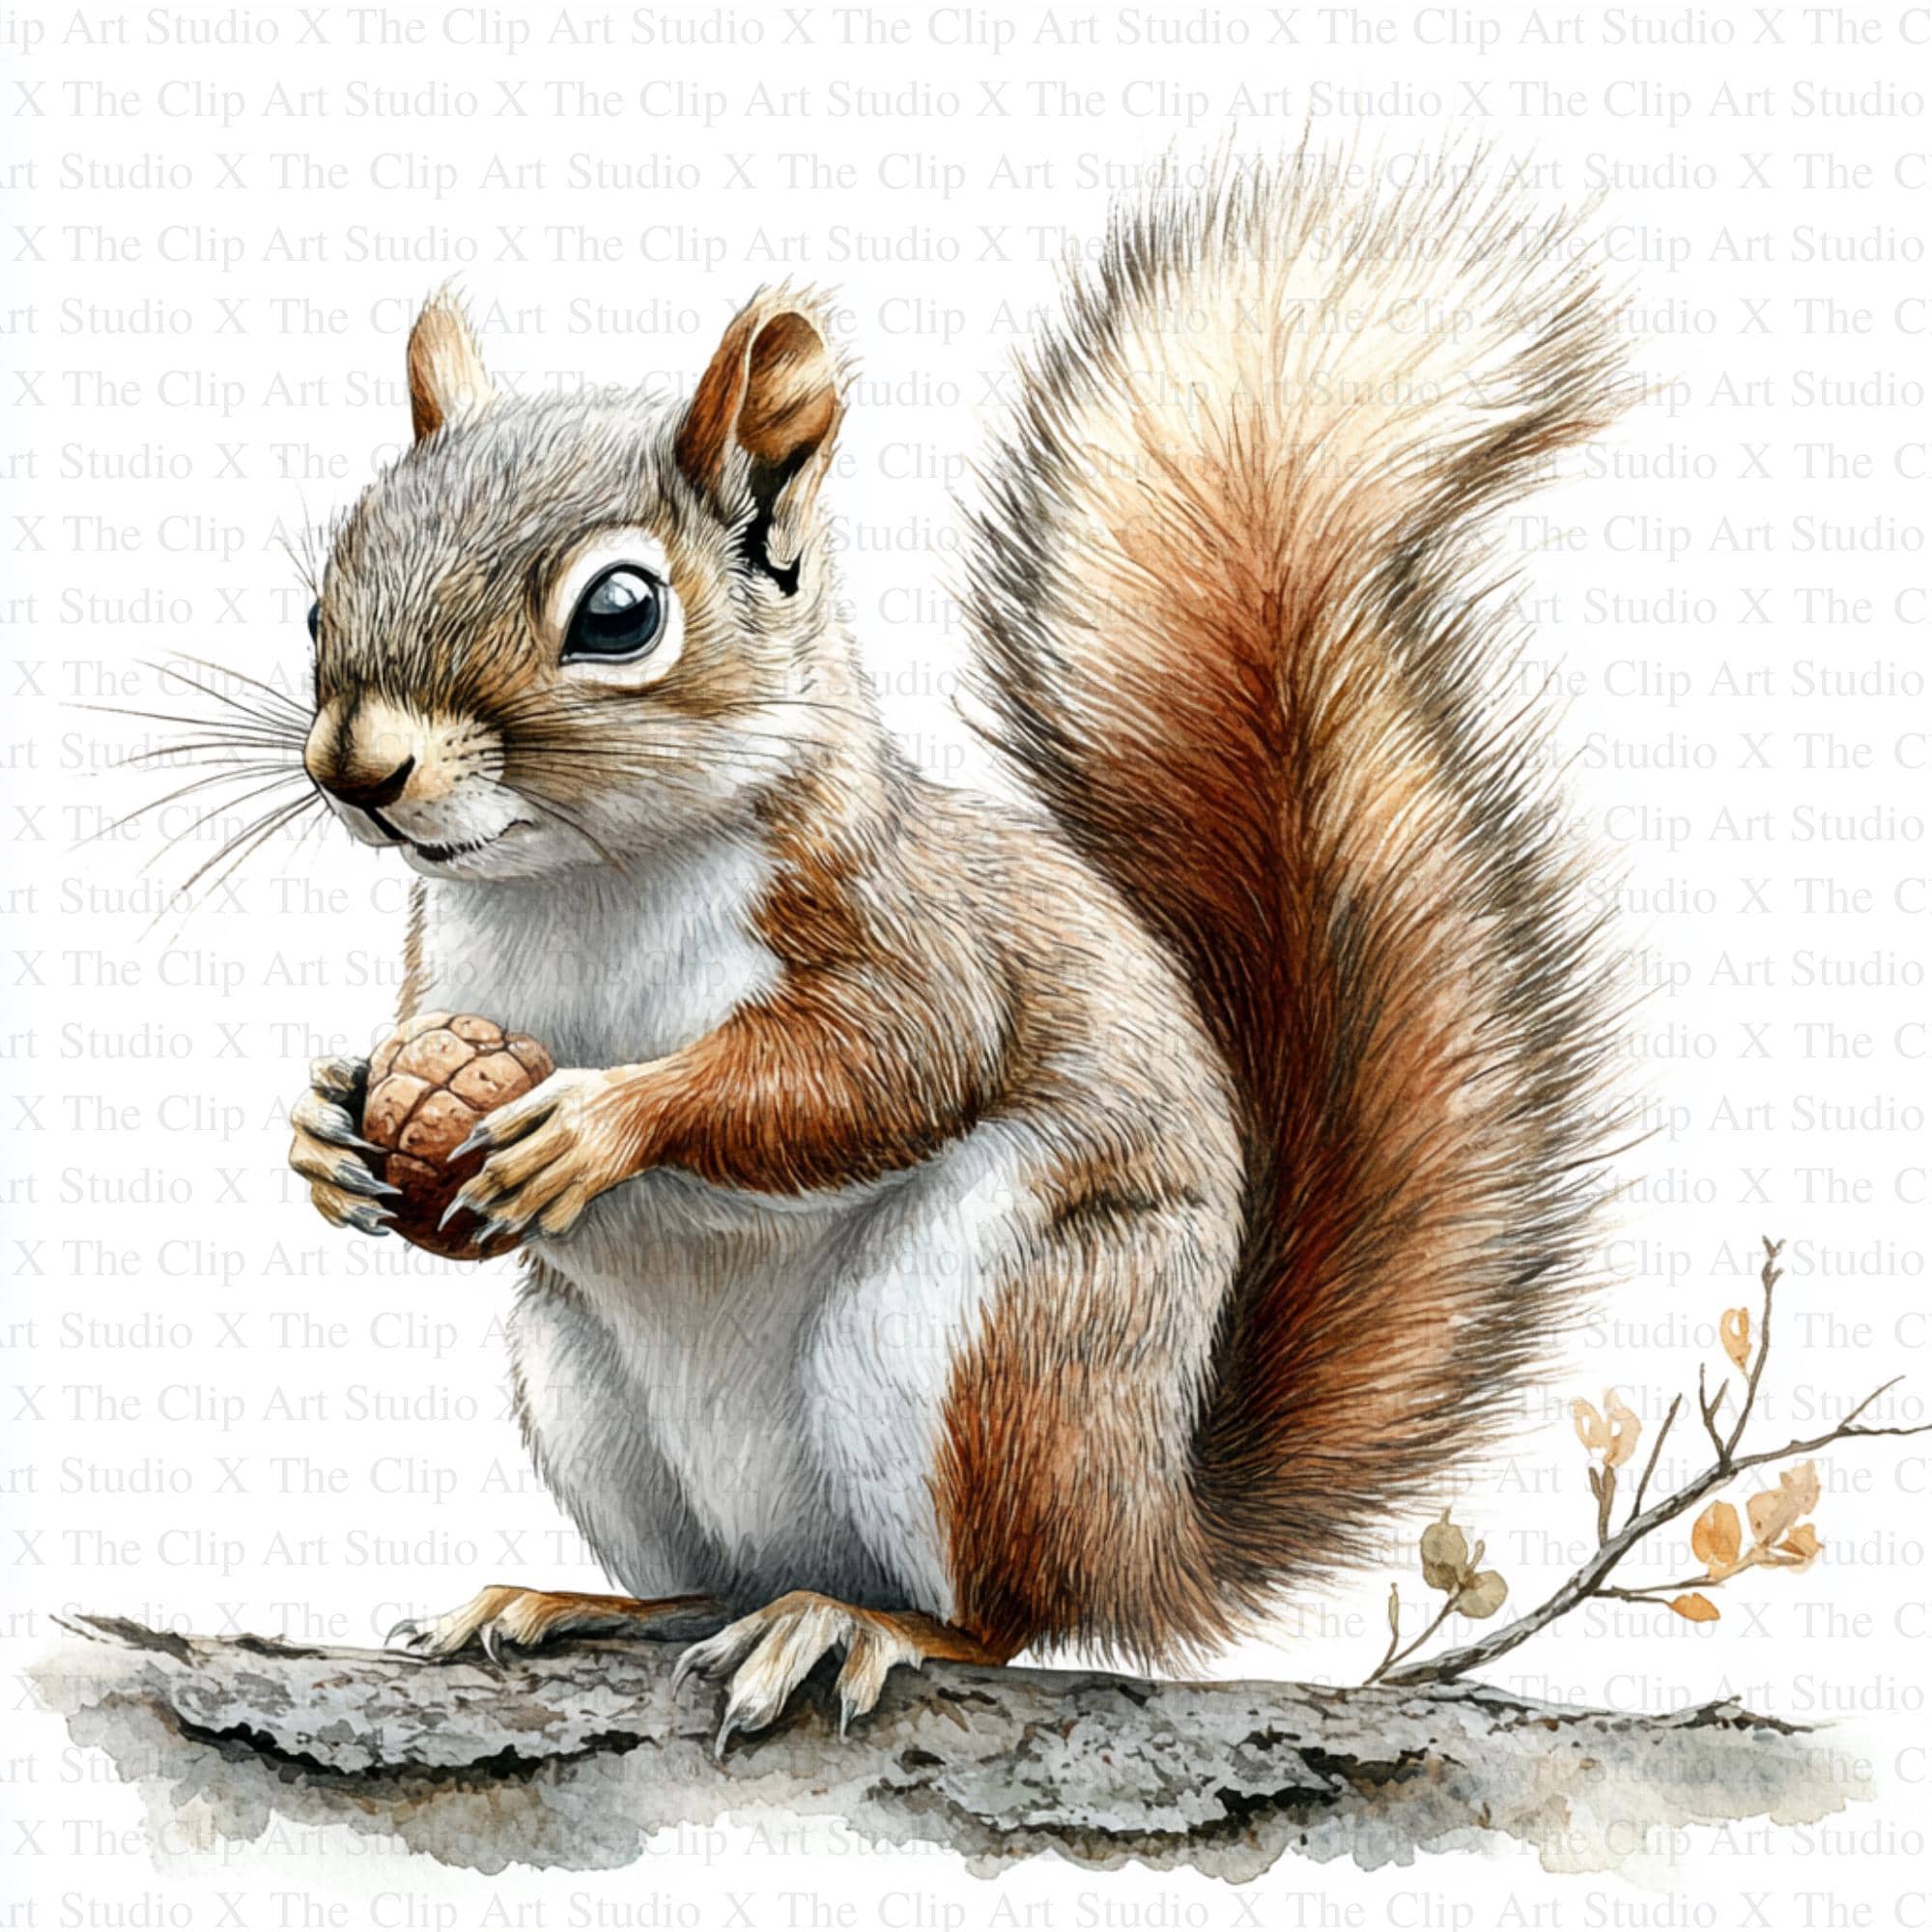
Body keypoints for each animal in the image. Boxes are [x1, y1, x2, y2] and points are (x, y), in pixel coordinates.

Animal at [286, 149, 1629, 1748]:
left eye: (618, 613)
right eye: (321, 593)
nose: (358, 770)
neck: (579, 884)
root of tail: (1154, 1530)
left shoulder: (911, 933)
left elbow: (878, 1071)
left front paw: (604, 1119)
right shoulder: (451, 989)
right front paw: (328, 1133)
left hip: (990, 1345)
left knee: (1005, 1617)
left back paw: (855, 1629)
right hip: (586, 1394)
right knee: (714, 1579)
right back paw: (572, 1603)